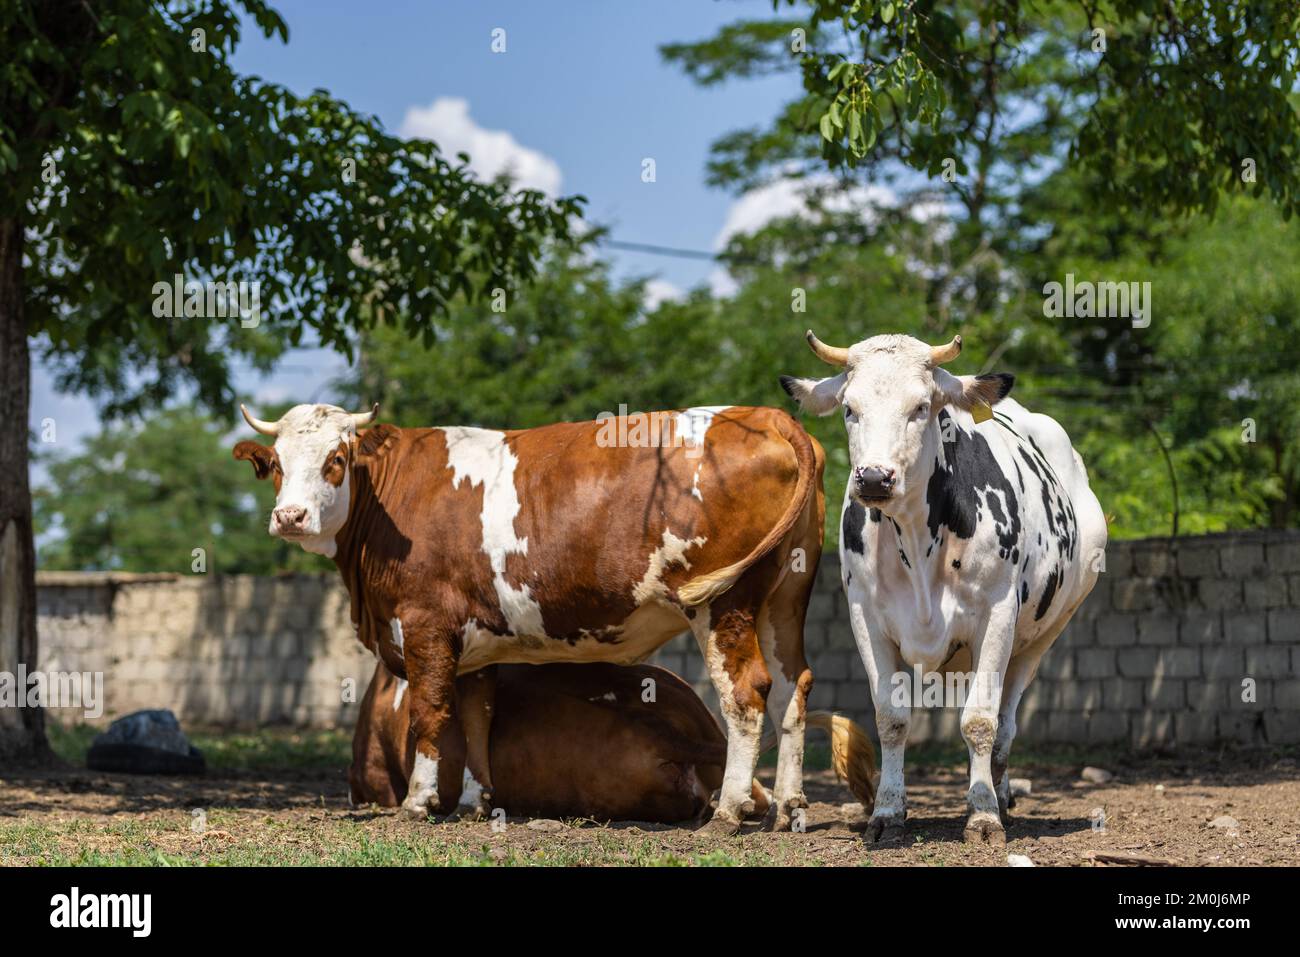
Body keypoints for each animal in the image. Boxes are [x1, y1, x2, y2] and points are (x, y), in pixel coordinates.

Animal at [780, 330, 1107, 845]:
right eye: (850, 408)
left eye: (920, 407)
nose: (874, 478)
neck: (916, 541)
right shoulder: (865, 618)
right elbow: (891, 719)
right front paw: (887, 812)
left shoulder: (996, 616)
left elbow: (980, 722)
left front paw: (983, 813)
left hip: (1043, 634)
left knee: (1006, 721)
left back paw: (999, 794)